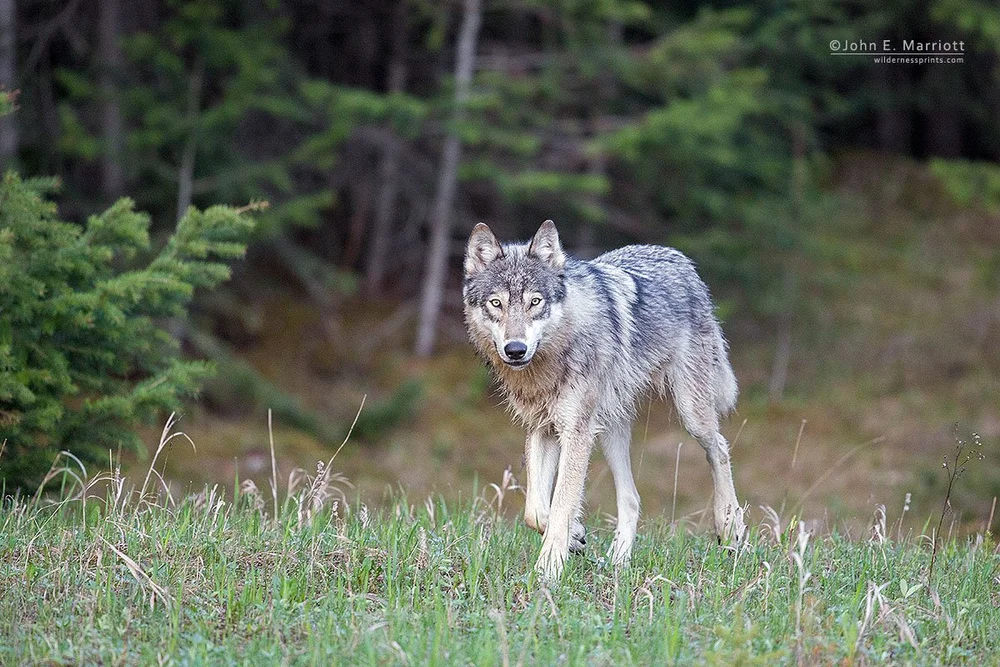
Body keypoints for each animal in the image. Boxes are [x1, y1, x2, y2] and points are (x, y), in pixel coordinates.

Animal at [463, 220, 745, 580]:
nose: (515, 349)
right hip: (611, 430)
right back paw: (618, 561)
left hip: (690, 414)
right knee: (631, 497)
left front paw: (549, 569)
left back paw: (729, 526)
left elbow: (561, 503)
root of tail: (679, 258)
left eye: (535, 302)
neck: (551, 360)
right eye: (496, 303)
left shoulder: (577, 433)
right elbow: (536, 510)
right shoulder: (543, 429)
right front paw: (574, 537)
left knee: (719, 448)